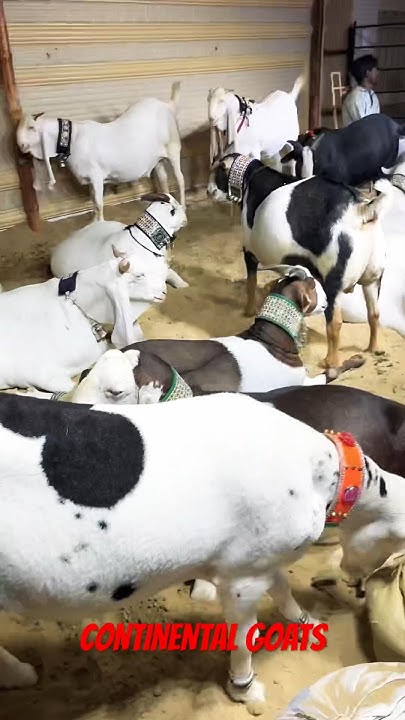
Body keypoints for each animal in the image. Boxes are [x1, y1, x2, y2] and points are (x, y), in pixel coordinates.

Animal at [1, 391, 404, 711]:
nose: (358, 588)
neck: (323, 477)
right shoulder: (242, 576)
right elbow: (244, 635)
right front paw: (244, 690)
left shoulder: (261, 557)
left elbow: (281, 587)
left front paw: (304, 620)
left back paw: (18, 674)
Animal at [16, 83, 185, 221]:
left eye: (31, 128)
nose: (21, 145)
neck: (73, 139)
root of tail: (168, 105)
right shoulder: (90, 180)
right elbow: (93, 203)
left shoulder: (96, 176)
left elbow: (98, 204)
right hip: (158, 159)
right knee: (163, 179)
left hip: (173, 148)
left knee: (180, 179)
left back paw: (183, 208)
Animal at [207, 153, 394, 369]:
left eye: (218, 170)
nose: (209, 191)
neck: (250, 178)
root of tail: (362, 210)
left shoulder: (249, 253)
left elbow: (251, 284)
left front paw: (248, 311)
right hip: (373, 278)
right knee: (374, 314)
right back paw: (374, 348)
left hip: (333, 283)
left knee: (335, 323)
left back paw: (330, 362)